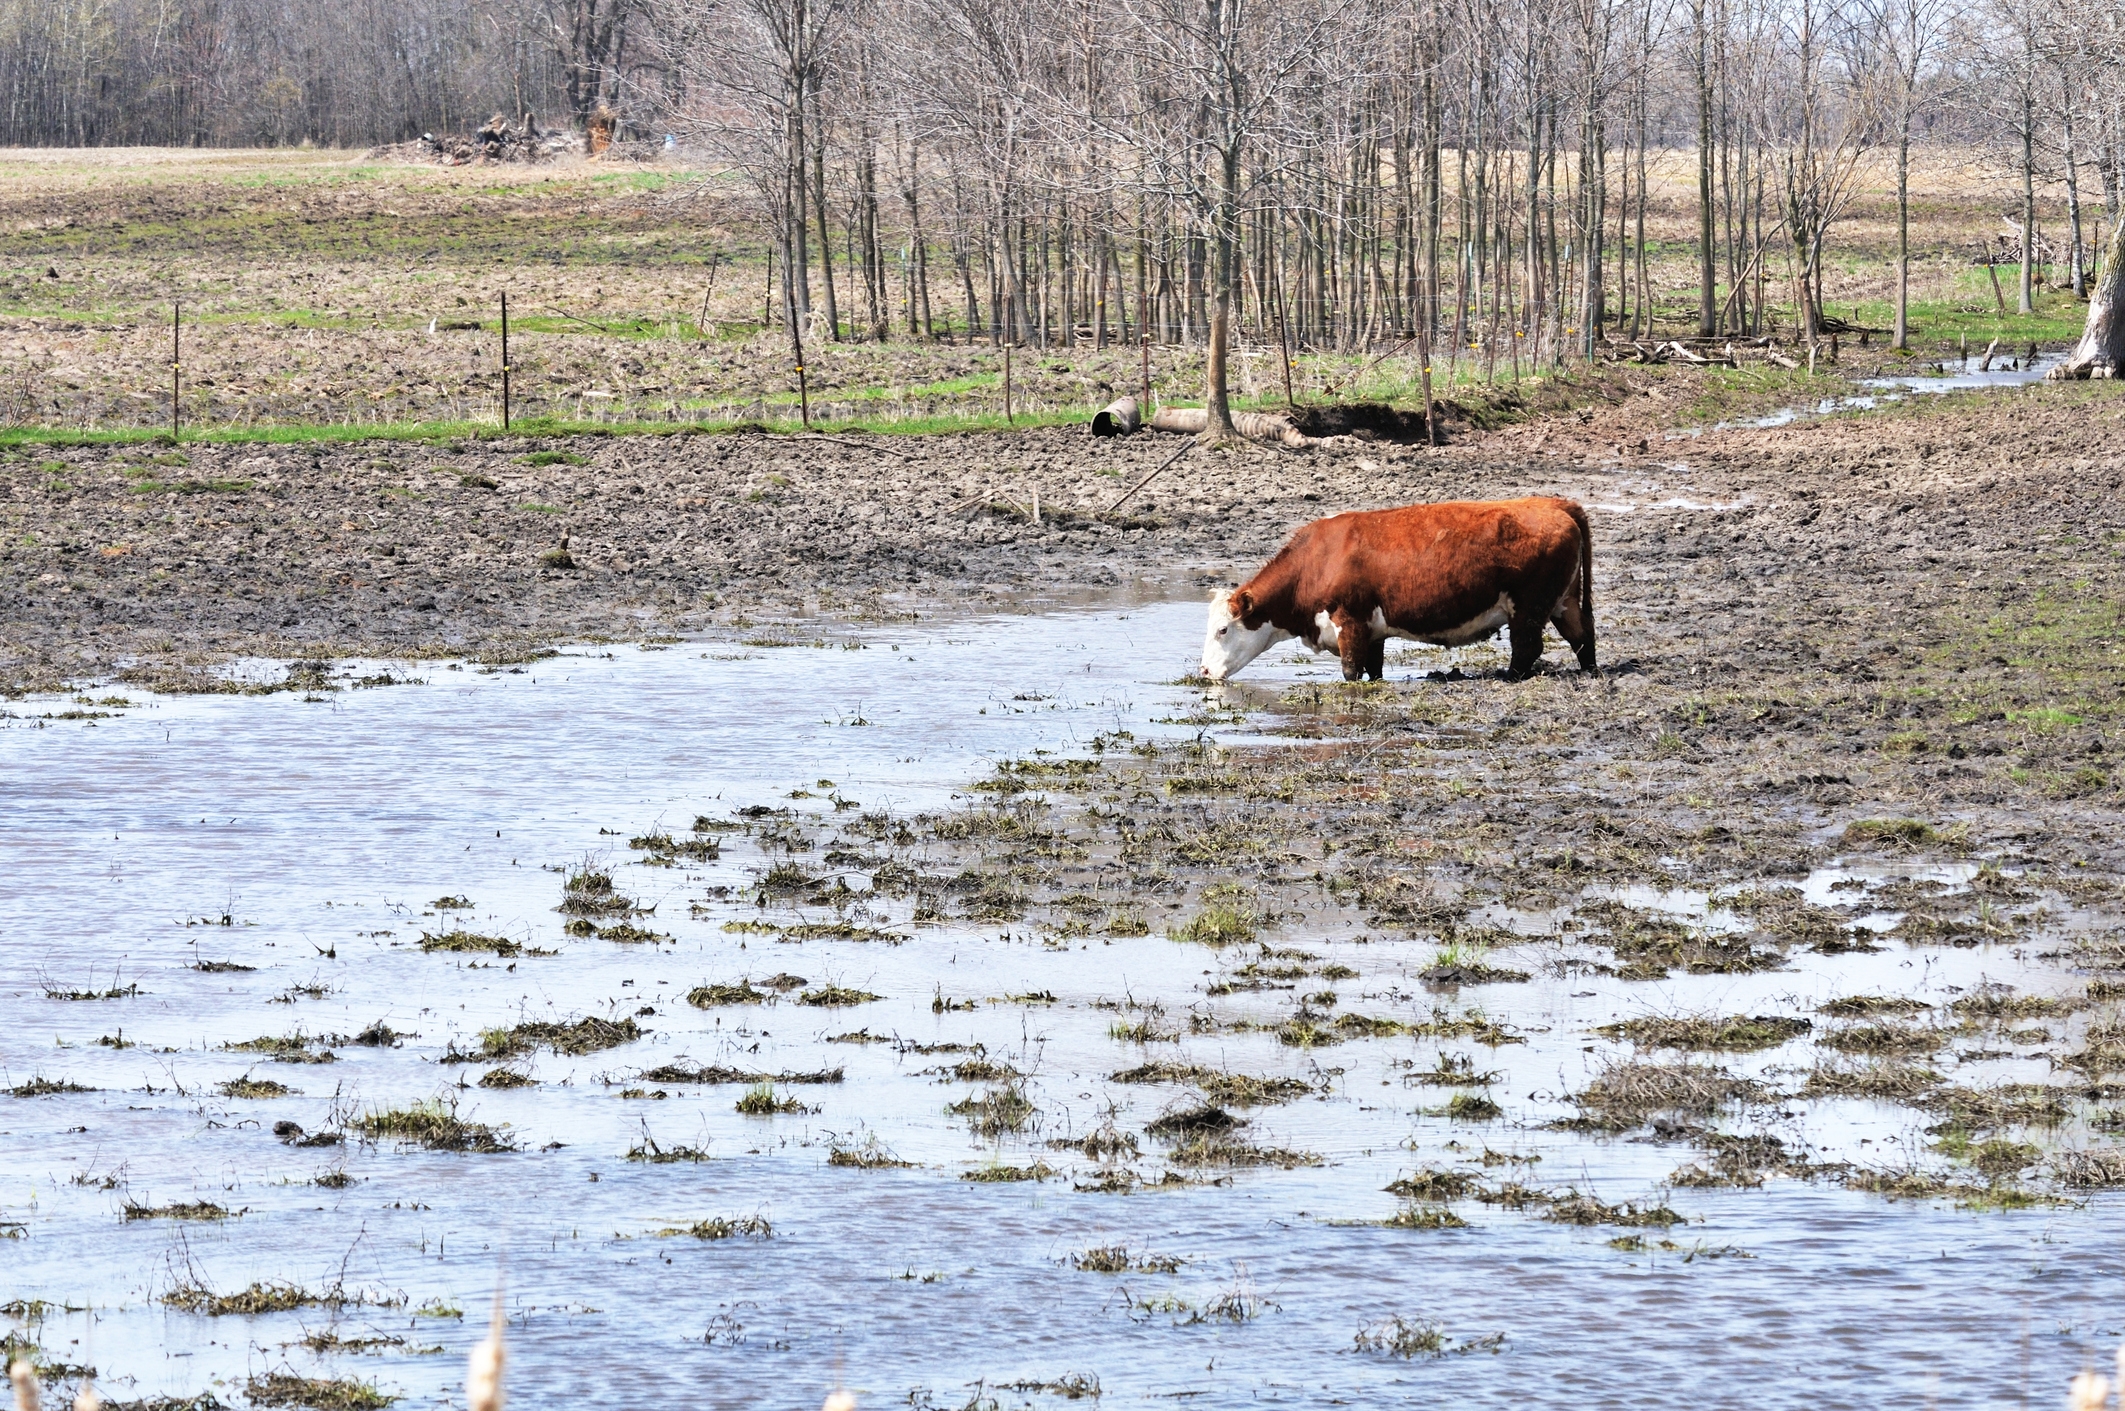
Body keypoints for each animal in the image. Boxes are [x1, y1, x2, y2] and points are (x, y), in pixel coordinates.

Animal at [1199, 496, 1596, 683]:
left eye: (1223, 630)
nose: (1203, 672)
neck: (1318, 559)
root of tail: (1552, 504)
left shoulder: (1350, 622)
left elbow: (1351, 671)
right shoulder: (1372, 632)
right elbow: (1373, 669)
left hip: (1528, 607)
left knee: (1527, 647)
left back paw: (1510, 676)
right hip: (1563, 601)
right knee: (1581, 635)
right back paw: (1589, 671)